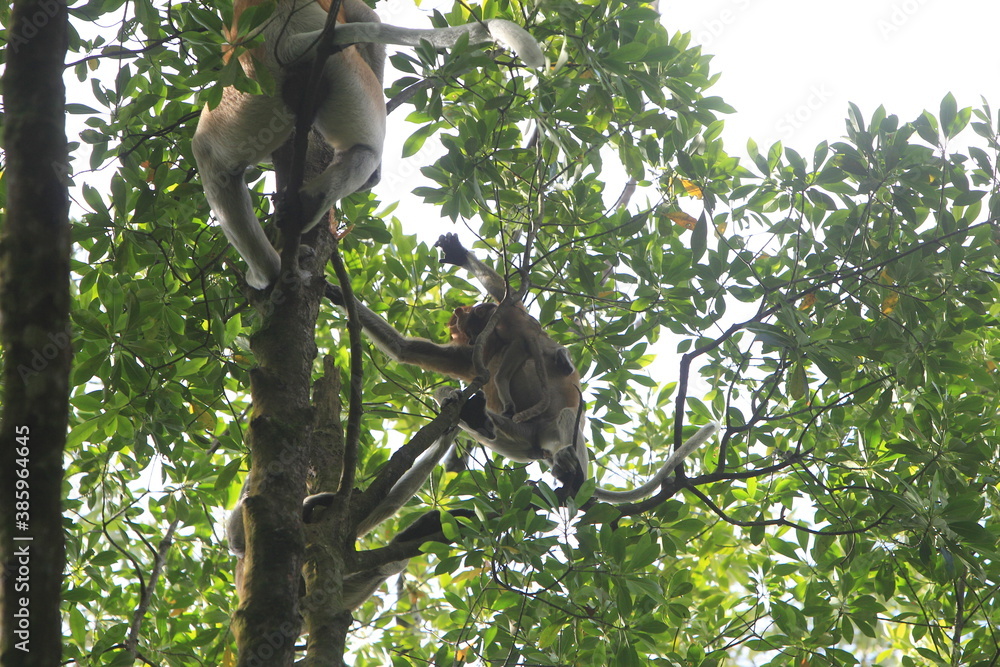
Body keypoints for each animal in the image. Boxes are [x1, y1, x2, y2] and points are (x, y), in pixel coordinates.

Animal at [193, 0, 545, 289]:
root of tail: (285, 38)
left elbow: (366, 15)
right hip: (326, 79)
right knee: (362, 150)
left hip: (261, 83)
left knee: (211, 157)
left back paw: (269, 268)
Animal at [325, 234, 720, 503]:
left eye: (460, 321)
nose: (458, 325)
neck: (495, 343)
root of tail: (541, 444)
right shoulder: (470, 356)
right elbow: (404, 350)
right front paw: (337, 293)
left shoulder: (503, 331)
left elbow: (511, 302)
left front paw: (461, 255)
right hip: (521, 438)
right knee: (483, 417)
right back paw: (472, 413)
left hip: (558, 430)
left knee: (567, 417)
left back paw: (570, 469)